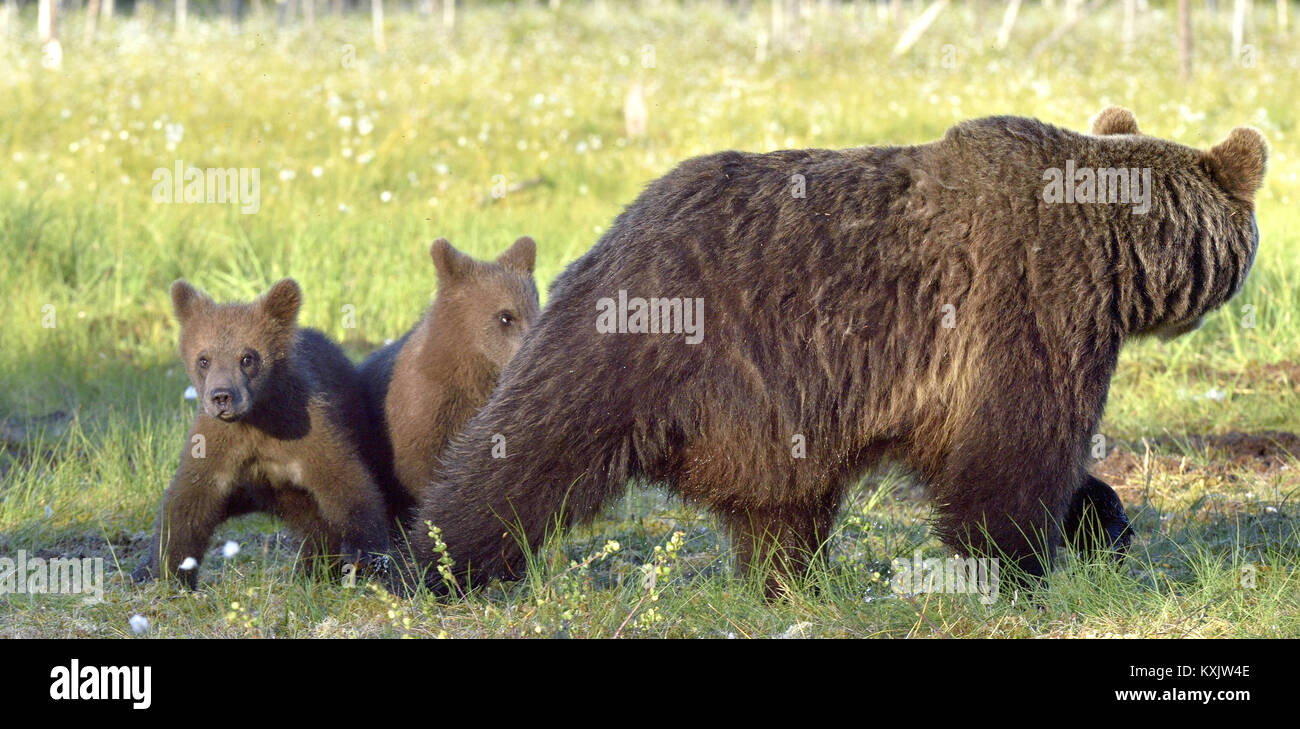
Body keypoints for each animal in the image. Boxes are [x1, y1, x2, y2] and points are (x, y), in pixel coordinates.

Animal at [132, 279, 391, 589]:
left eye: (247, 357)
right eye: (204, 359)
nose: (222, 396)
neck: (254, 421)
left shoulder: (306, 431)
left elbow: (345, 481)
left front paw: (366, 554)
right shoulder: (216, 446)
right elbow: (187, 503)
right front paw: (165, 573)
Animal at [406, 107, 1266, 597]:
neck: (1116, 260)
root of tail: (612, 229)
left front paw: (1103, 521)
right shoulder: (1029, 305)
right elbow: (1013, 455)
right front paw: (1015, 567)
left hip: (765, 416)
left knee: (780, 512)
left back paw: (793, 585)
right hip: (645, 345)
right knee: (521, 457)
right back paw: (432, 566)